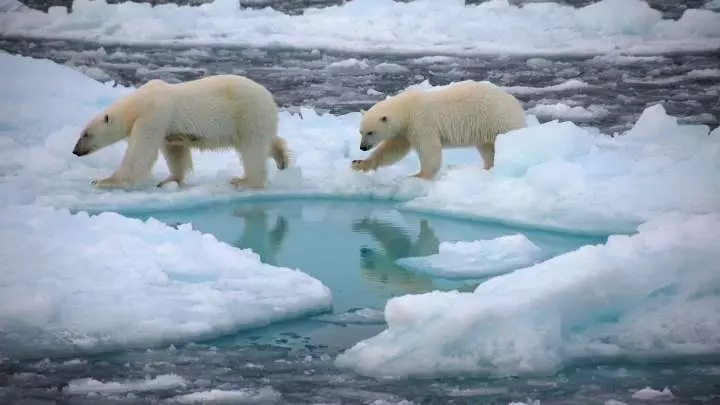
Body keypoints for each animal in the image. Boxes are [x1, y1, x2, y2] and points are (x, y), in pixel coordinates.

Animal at [71, 74, 288, 189]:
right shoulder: (167, 127)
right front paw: (169, 180)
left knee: (253, 149)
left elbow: (140, 152)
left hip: (247, 113)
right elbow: (175, 151)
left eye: (86, 134)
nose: (75, 151)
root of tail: (269, 97)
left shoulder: (153, 115)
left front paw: (104, 181)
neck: (139, 102)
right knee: (265, 142)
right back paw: (282, 158)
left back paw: (245, 181)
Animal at [352, 80, 524, 178]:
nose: (362, 147)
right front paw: (359, 163)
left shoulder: (421, 122)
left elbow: (429, 149)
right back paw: (487, 168)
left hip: (499, 121)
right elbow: (392, 150)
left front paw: (419, 175)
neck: (407, 109)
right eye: (361, 132)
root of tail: (517, 106)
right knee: (487, 149)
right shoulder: (404, 131)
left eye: (371, 132)